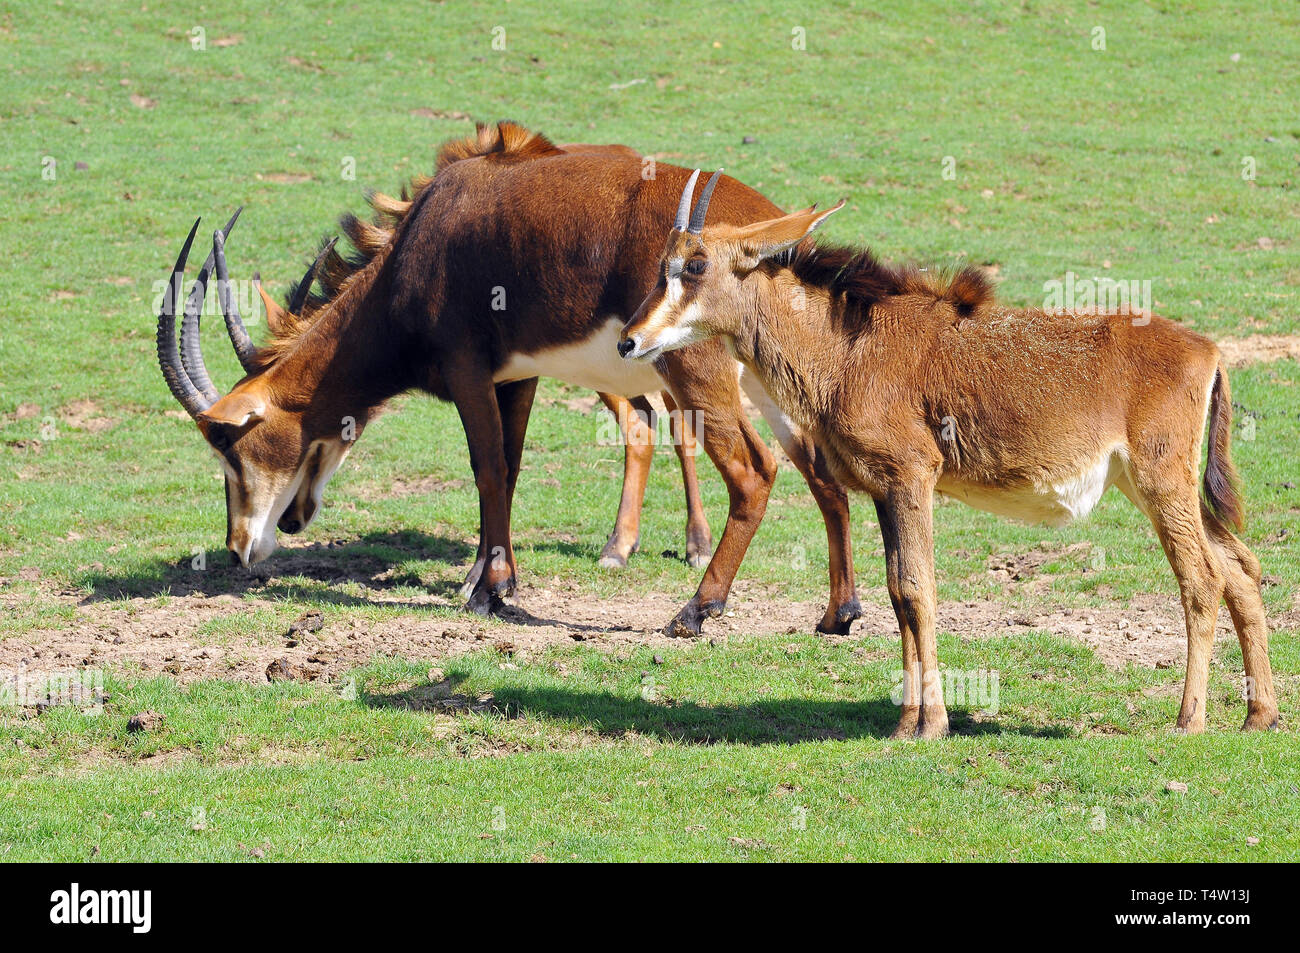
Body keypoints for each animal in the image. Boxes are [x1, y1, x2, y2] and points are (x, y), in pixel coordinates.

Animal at [153, 123, 862, 638]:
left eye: (229, 444)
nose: (239, 549)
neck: (420, 242)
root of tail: (775, 234)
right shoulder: (515, 377)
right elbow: (512, 467)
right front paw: (486, 576)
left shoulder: (468, 368)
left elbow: (488, 466)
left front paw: (490, 592)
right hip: (775, 384)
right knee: (821, 472)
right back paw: (840, 612)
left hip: (693, 371)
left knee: (754, 471)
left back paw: (697, 608)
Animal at [619, 173, 1279, 737]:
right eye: (664, 264)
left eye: (696, 266)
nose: (629, 340)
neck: (849, 345)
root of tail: (1208, 350)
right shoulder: (886, 488)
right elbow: (897, 594)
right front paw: (907, 721)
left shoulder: (914, 476)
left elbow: (918, 590)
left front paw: (931, 723)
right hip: (1150, 486)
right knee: (1240, 569)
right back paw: (1259, 715)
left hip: (1161, 481)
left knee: (1202, 579)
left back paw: (1190, 719)